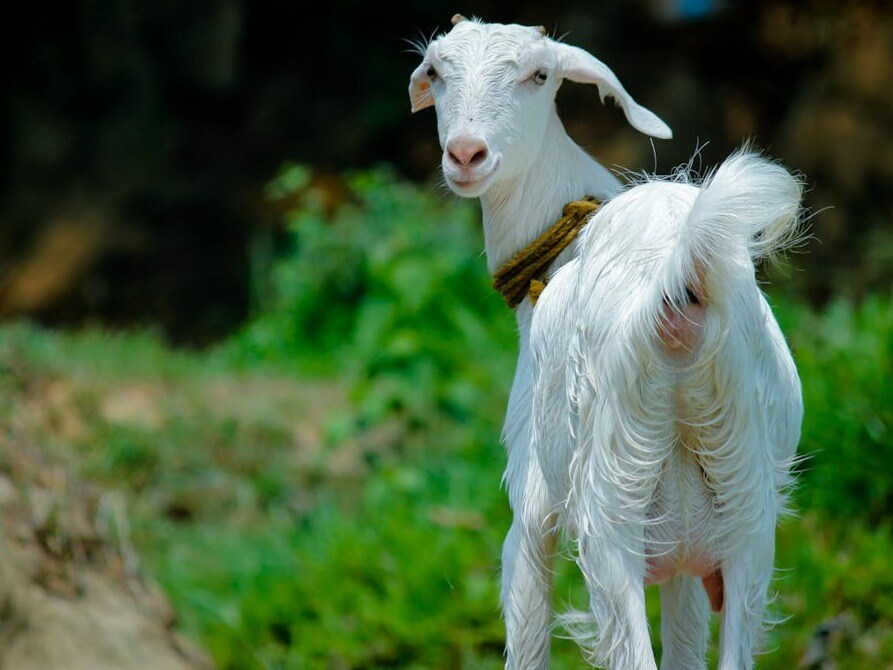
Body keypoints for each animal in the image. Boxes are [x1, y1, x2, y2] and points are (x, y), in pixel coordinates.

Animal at [408, 16, 804, 669]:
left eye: (539, 74)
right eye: (436, 71)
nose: (466, 154)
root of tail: (679, 287)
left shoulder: (531, 503)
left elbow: (527, 633)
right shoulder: (687, 562)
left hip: (609, 503)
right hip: (746, 513)